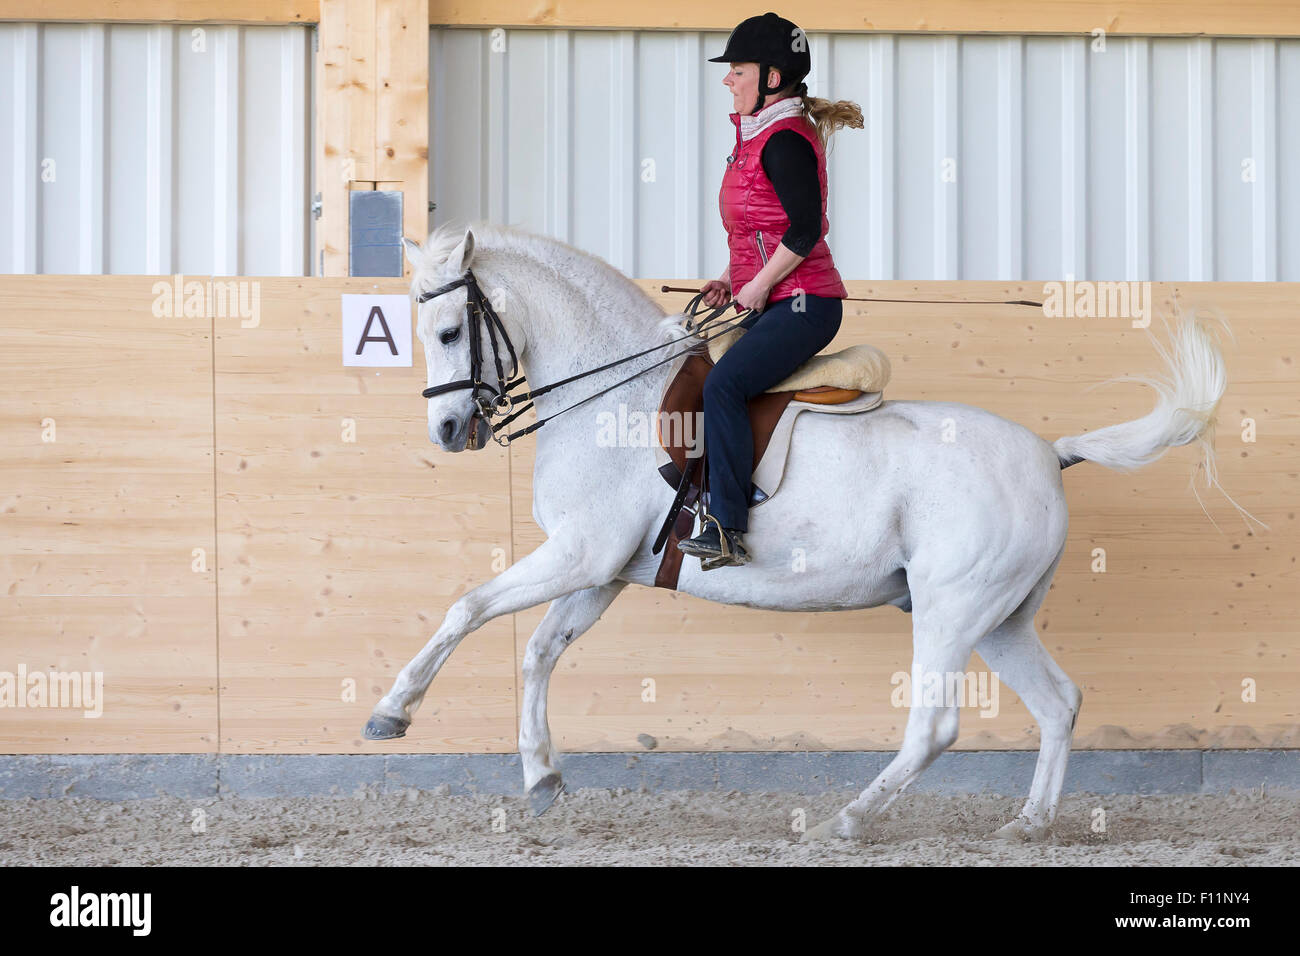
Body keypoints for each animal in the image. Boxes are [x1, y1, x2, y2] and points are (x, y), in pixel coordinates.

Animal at [364, 220, 1236, 842]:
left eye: (449, 333)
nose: (449, 431)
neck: (615, 398)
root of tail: (1050, 455)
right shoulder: (605, 571)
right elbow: (539, 652)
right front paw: (542, 780)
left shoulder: (580, 553)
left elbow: (468, 608)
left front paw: (392, 712)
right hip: (1001, 619)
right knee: (1058, 703)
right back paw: (1027, 824)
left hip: (953, 610)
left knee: (936, 725)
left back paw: (842, 822)